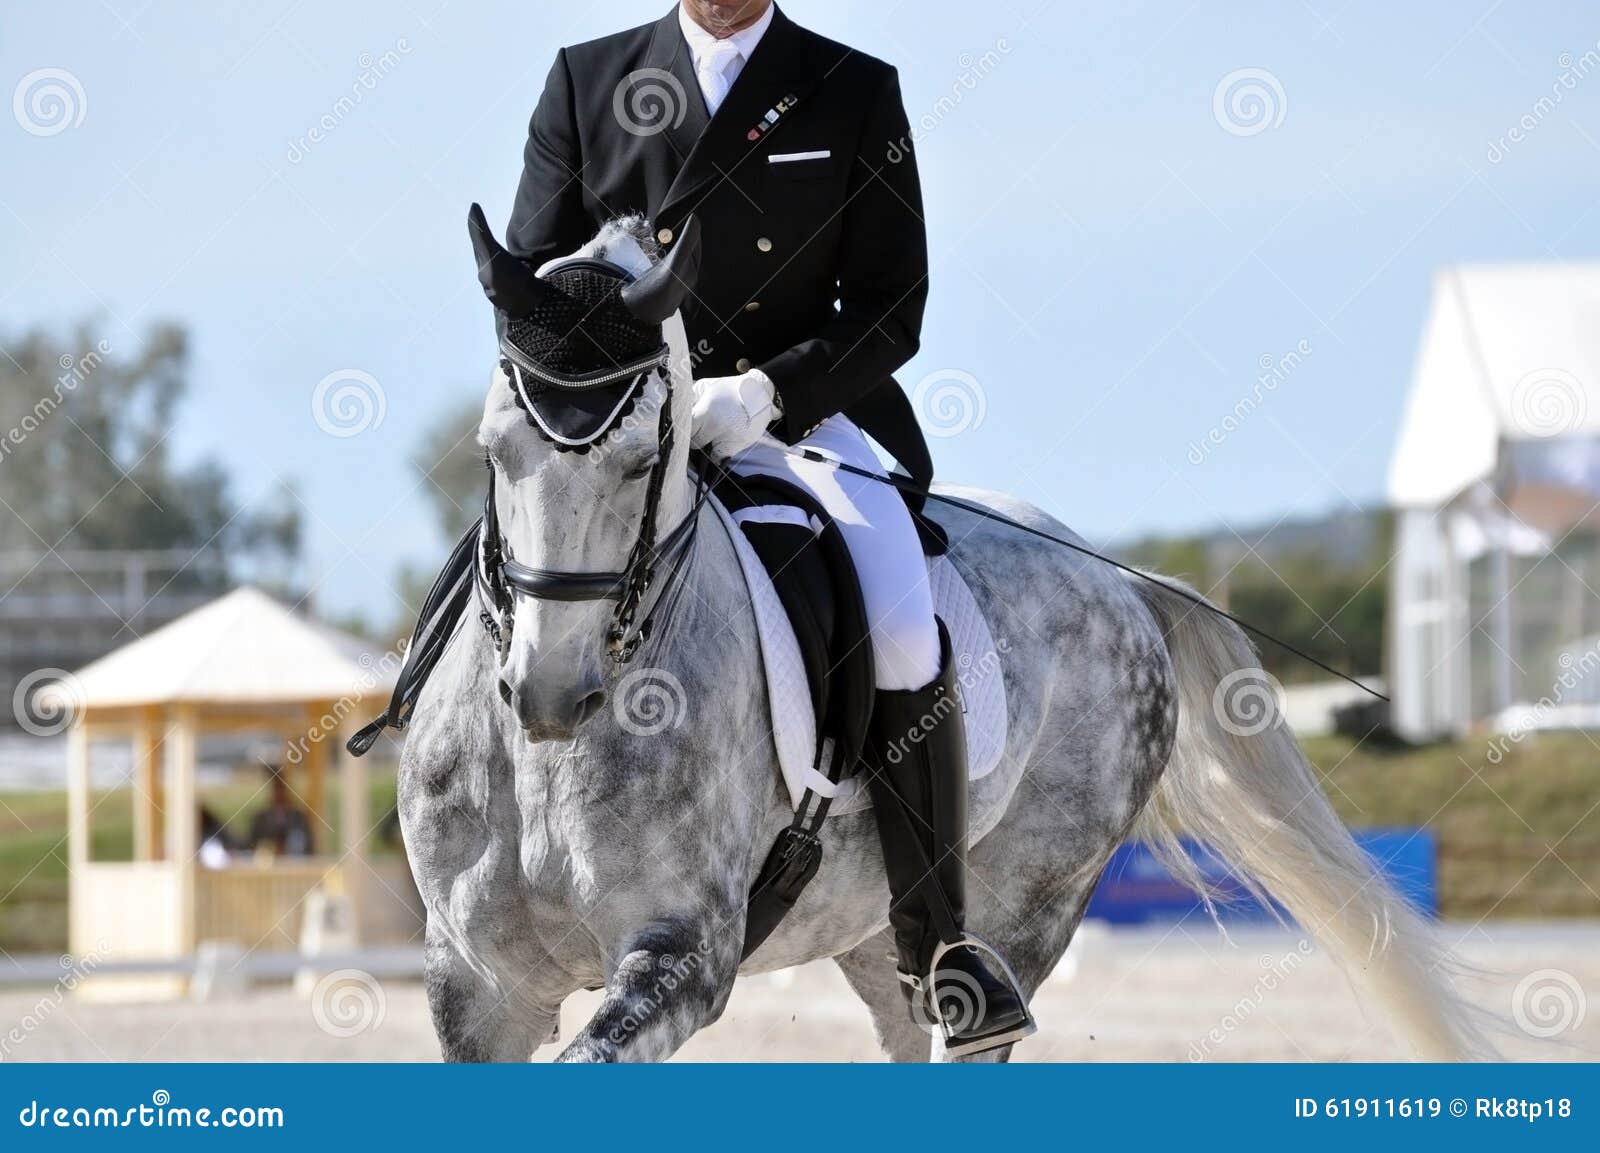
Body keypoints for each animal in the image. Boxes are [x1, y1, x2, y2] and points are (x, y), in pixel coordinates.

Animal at [395, 212, 1489, 1063]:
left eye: (637, 460)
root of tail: (1121, 582)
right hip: (873, 929)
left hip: (1028, 897)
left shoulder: (680, 956)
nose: (550, 693)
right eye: (495, 450)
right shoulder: (477, 985)